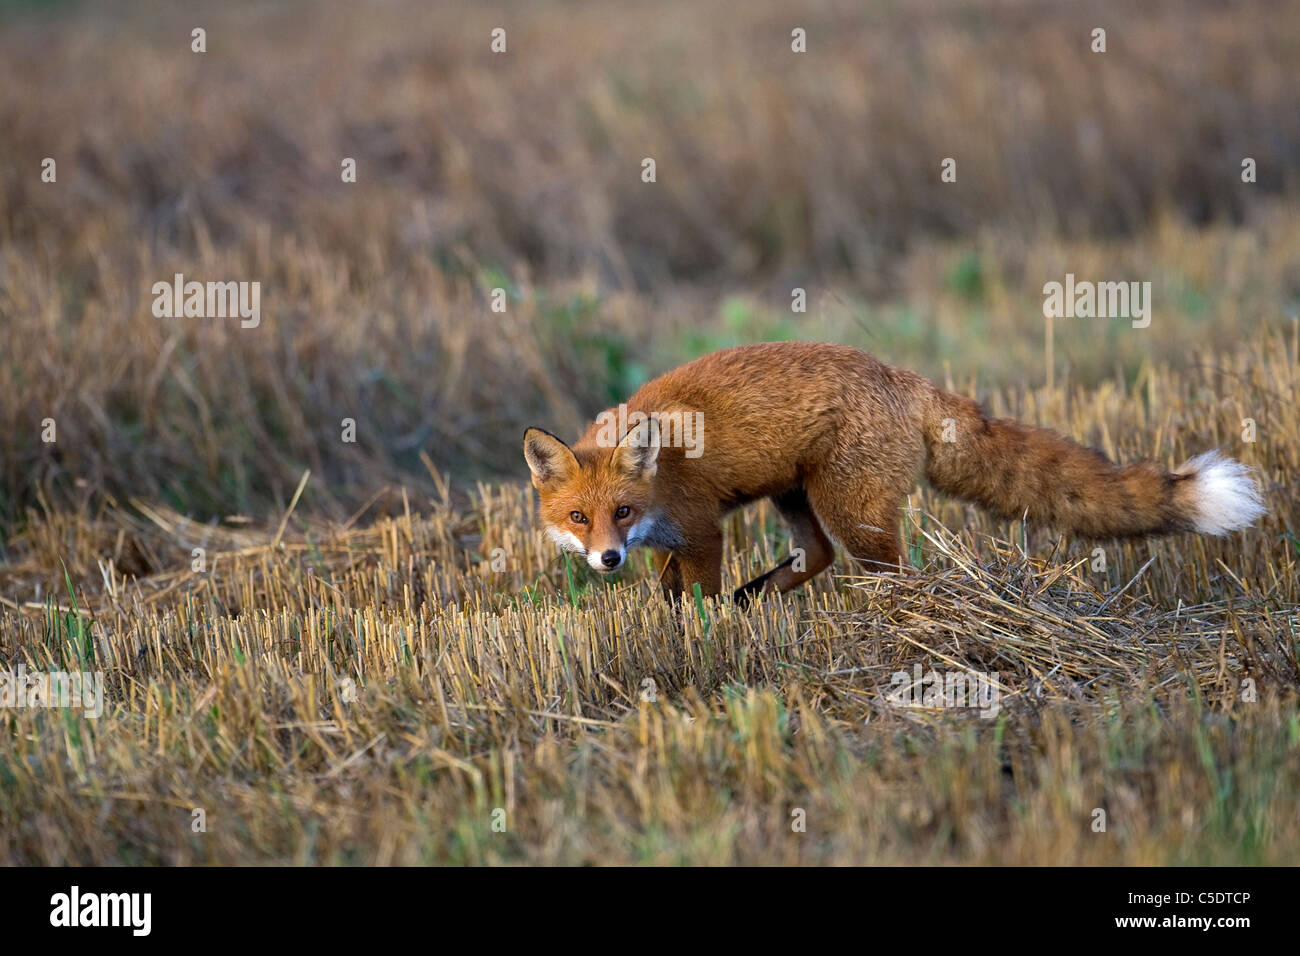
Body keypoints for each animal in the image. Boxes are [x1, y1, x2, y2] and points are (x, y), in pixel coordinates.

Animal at [523, 342, 1266, 604]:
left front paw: (699, 640)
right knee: (817, 554)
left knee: (884, 570)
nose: (609, 559)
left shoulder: (702, 531)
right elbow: (670, 594)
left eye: (620, 511)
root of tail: (903, 377)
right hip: (799, 496)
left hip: (855, 515)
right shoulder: (671, 544)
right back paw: (755, 596)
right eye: (579, 517)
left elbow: (692, 601)